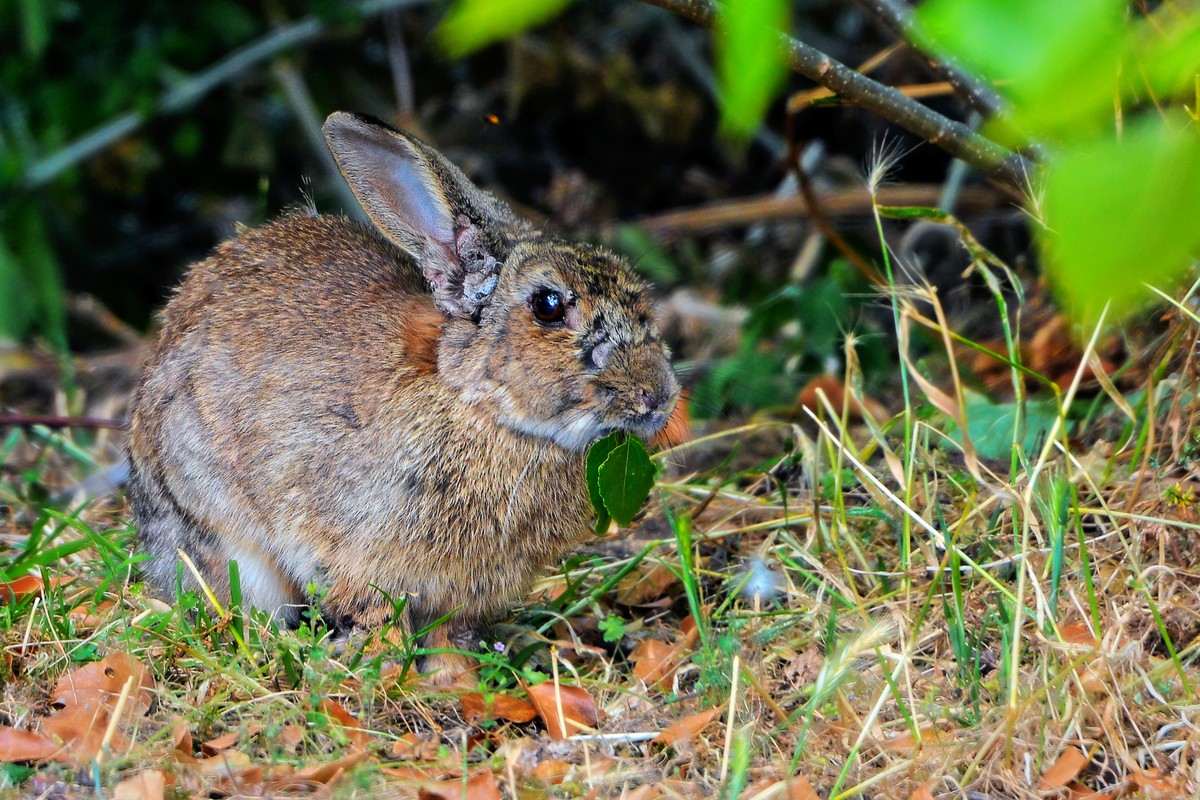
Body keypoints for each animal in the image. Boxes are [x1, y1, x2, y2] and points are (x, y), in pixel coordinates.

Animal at [126, 112, 679, 684]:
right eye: (547, 305)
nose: (657, 396)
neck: (474, 403)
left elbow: (448, 636)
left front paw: (453, 682)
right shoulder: (347, 546)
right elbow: (373, 613)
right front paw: (390, 672)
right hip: (221, 536)